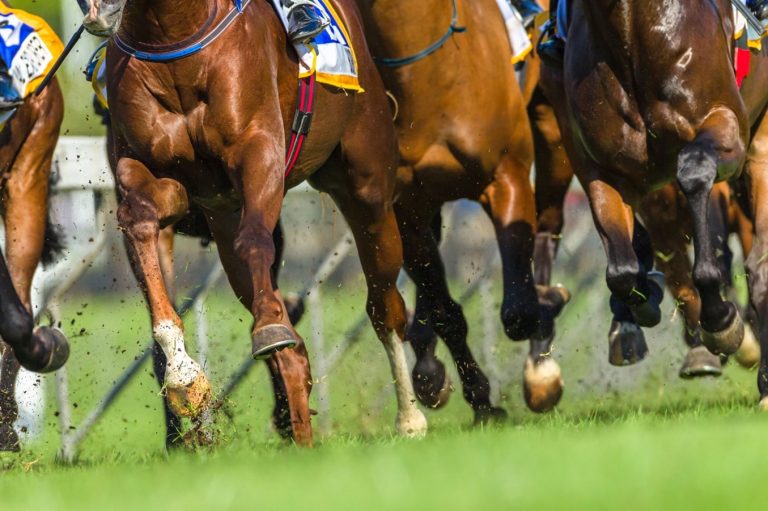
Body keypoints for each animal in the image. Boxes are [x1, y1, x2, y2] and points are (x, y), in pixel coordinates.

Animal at [78, 0, 428, 445]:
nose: (100, 11)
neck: (171, 39)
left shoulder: (260, 150)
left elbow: (256, 239)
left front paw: (269, 328)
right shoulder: (163, 177)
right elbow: (139, 219)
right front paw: (182, 372)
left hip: (367, 183)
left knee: (384, 304)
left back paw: (409, 417)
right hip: (225, 222)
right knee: (292, 346)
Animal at [356, 0, 570, 421]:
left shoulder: (506, 175)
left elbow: (519, 311)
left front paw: (547, 307)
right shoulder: (404, 204)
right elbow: (445, 310)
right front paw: (479, 397)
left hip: (553, 124)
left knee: (549, 223)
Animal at [539, 0, 768, 405]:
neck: (632, 33)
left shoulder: (725, 124)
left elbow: (695, 171)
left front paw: (721, 320)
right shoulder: (600, 167)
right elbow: (621, 269)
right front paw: (642, 300)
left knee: (759, 266)